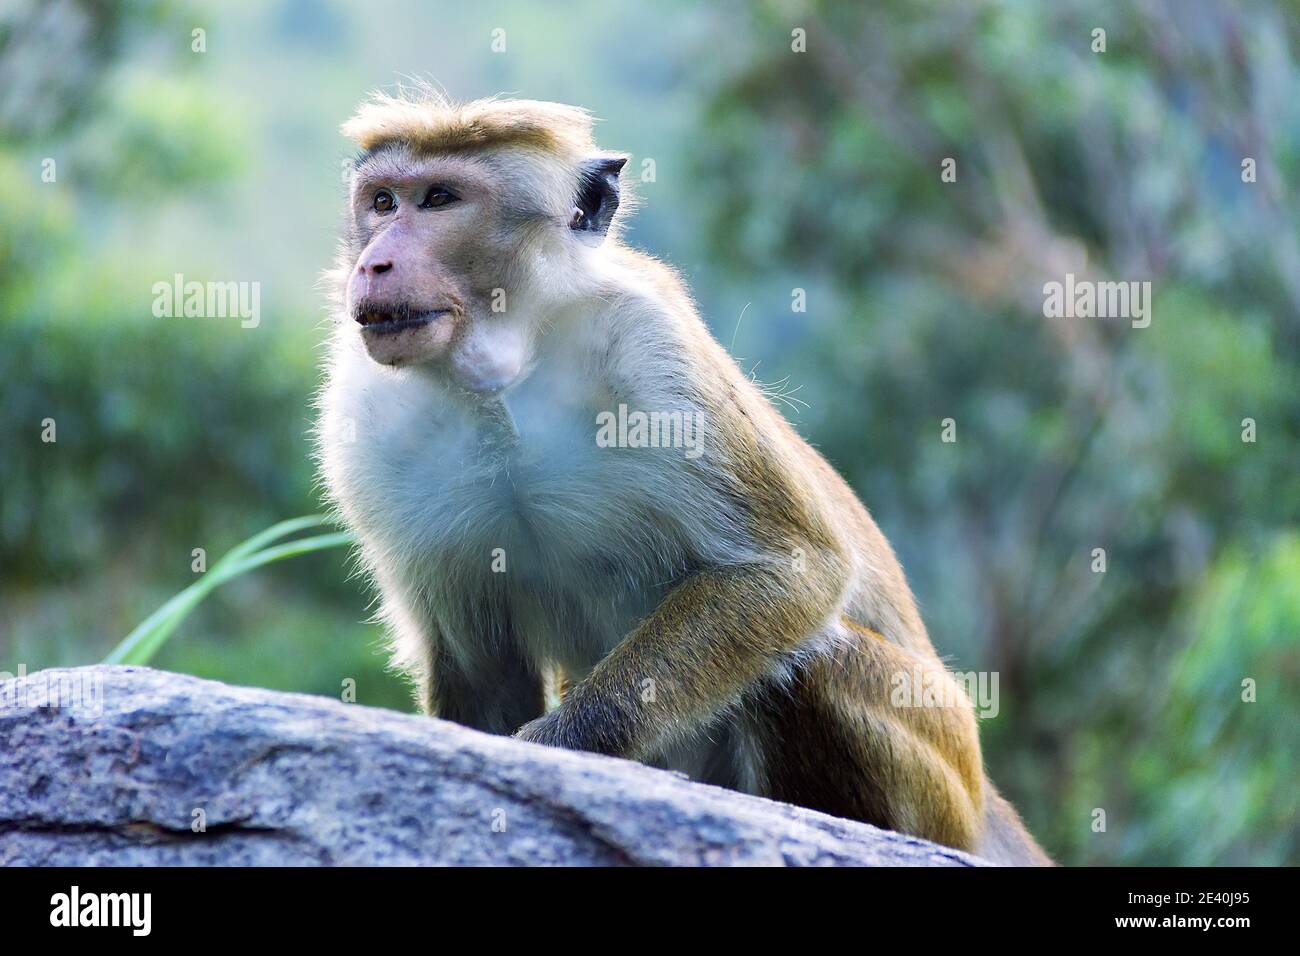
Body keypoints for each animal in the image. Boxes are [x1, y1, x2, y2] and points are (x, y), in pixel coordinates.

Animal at [315, 90, 1052, 865]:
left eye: (441, 199)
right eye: (383, 201)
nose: (375, 263)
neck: (504, 371)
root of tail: (982, 802)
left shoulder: (654, 351)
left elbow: (790, 567)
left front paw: (561, 745)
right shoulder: (369, 422)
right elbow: (482, 670)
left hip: (938, 770)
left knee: (809, 661)